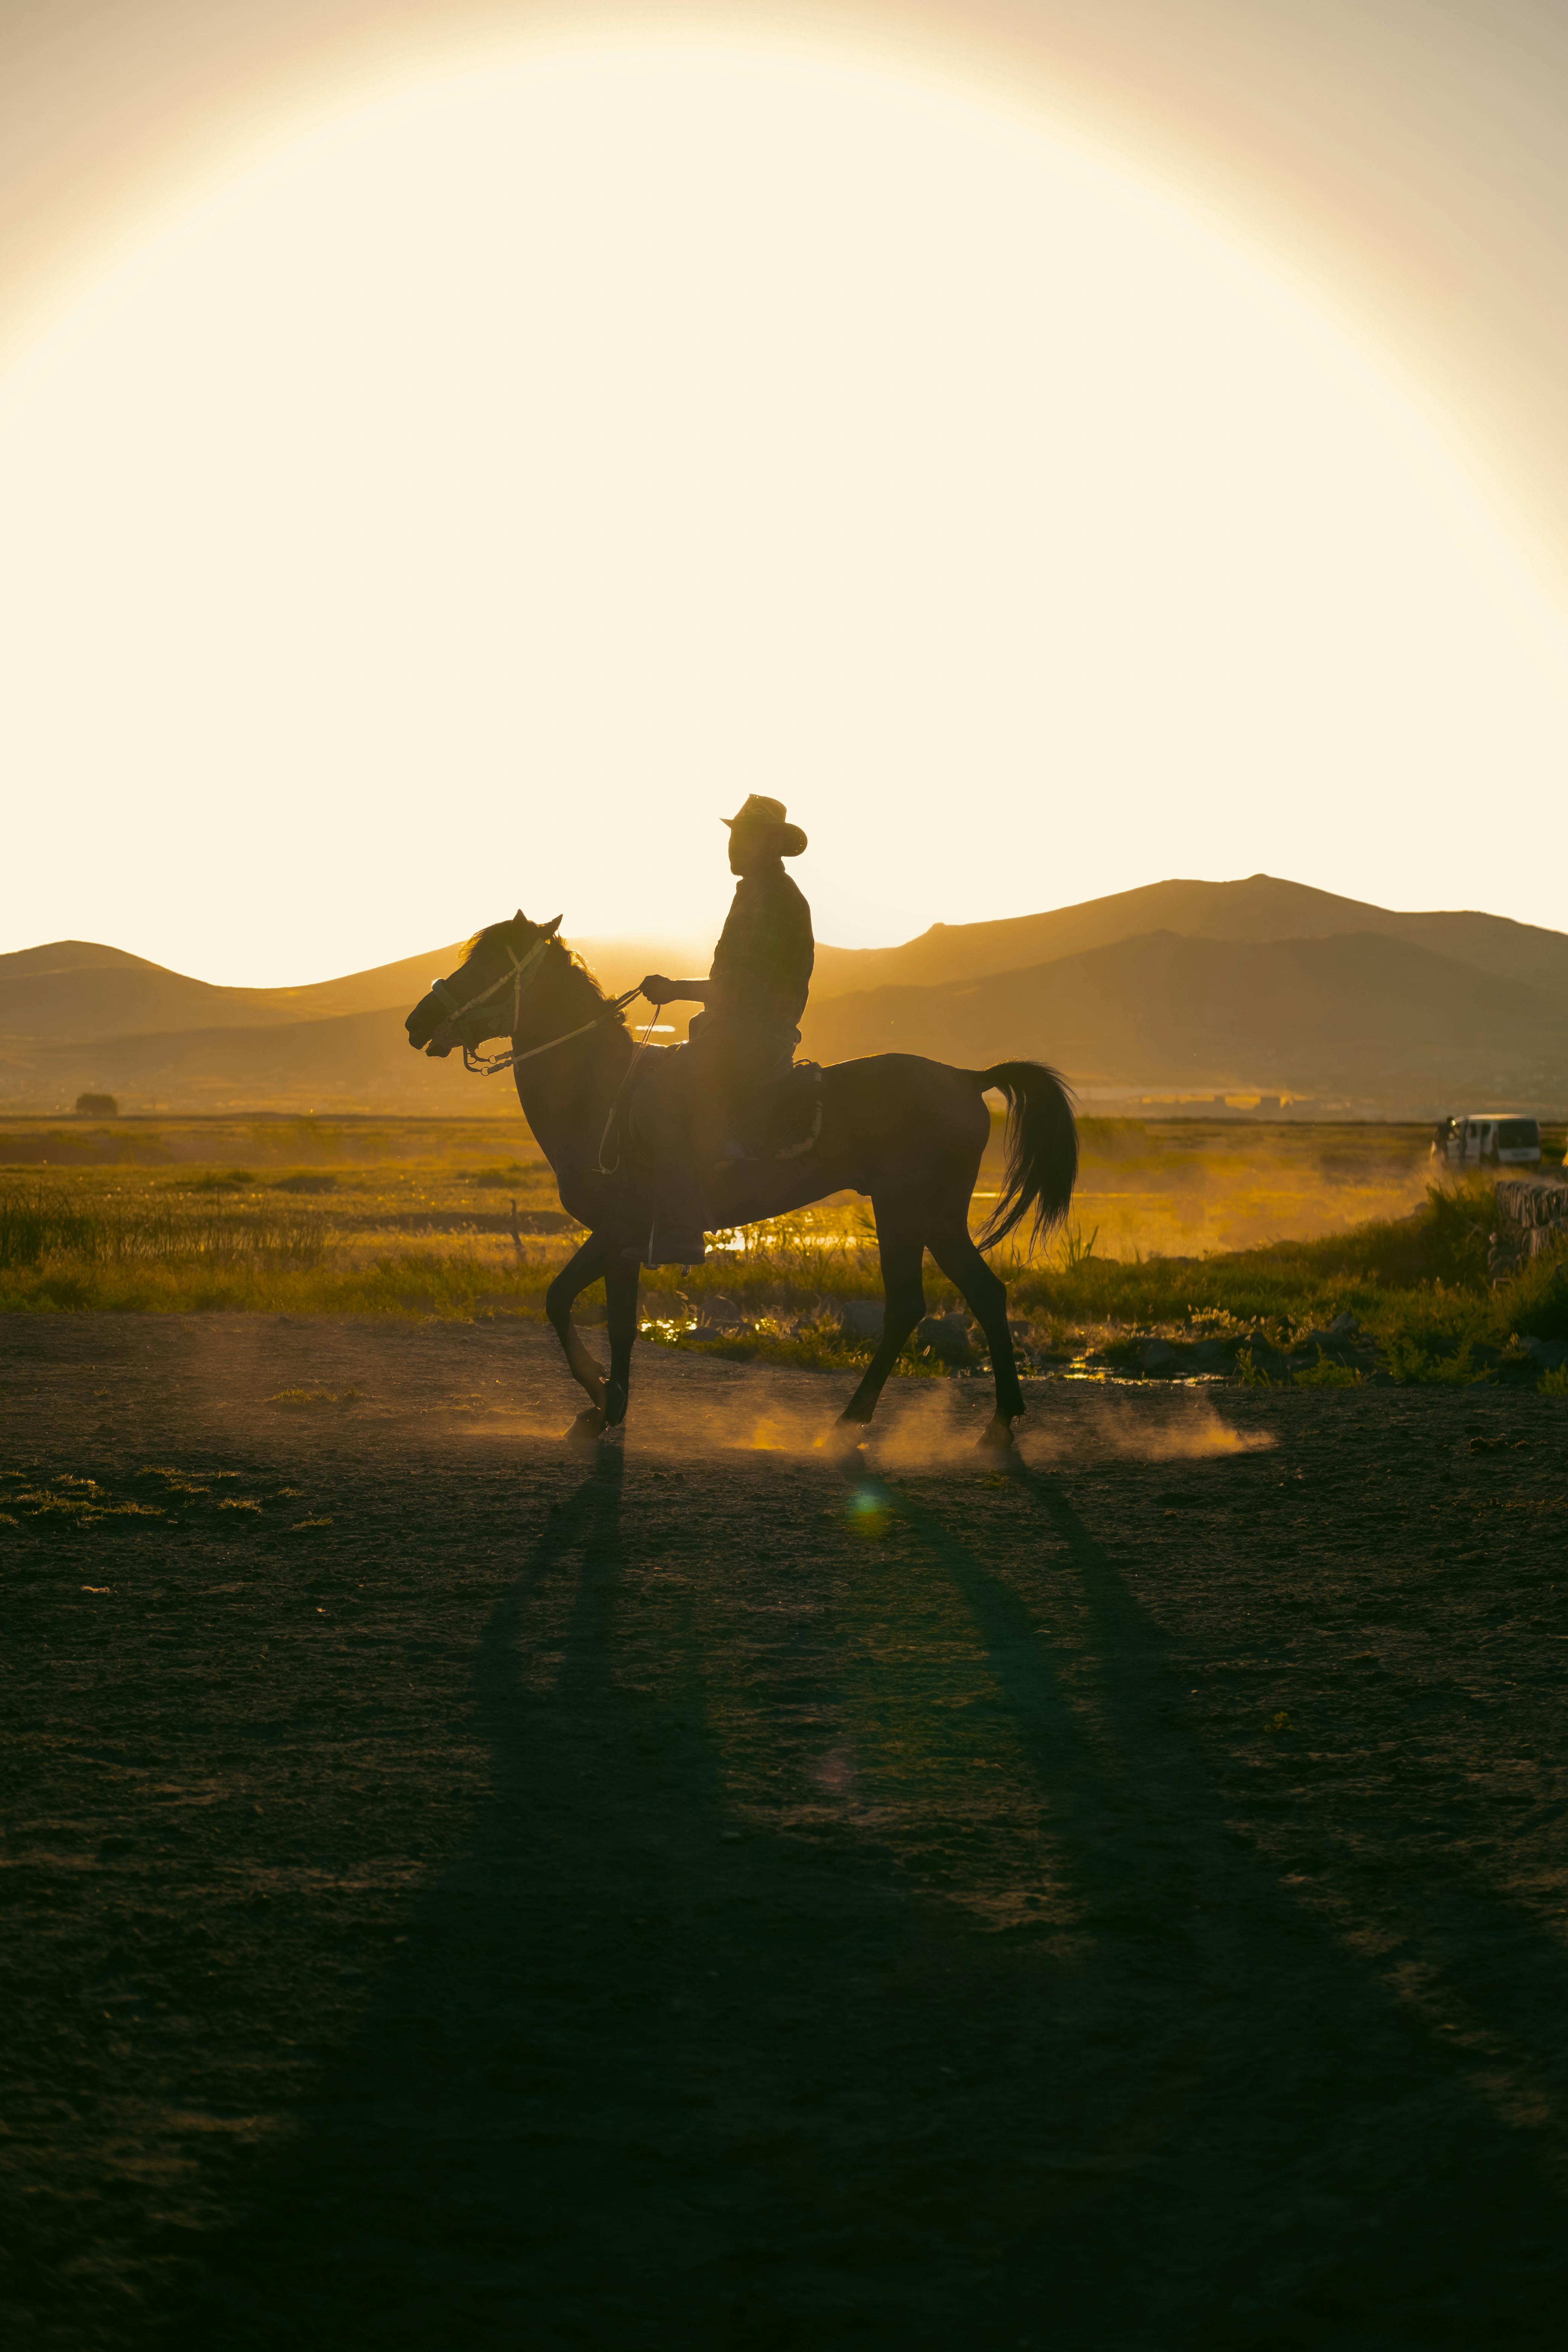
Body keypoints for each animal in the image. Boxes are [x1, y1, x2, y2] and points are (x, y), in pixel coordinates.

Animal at [404, 911, 1077, 1452]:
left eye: (490, 965)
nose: (418, 1021)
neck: (600, 1093)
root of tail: (967, 1078)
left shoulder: (622, 1234)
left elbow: (593, 1313)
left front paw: (605, 1402)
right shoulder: (617, 1239)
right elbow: (576, 1306)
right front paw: (600, 1404)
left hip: (913, 1207)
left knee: (928, 1302)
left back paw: (866, 1423)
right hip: (923, 1213)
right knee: (964, 1297)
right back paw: (986, 1424)